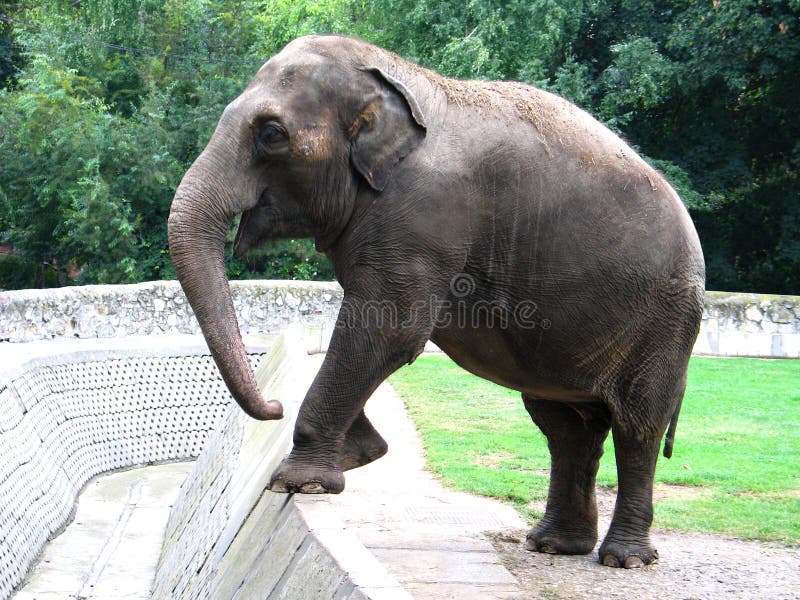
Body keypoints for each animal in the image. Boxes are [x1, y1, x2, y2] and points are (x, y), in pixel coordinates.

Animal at [168, 35, 705, 569]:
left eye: (272, 134)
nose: (275, 404)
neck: (393, 75)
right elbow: (373, 331)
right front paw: (360, 451)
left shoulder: (424, 216)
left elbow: (390, 330)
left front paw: (303, 480)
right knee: (566, 427)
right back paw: (553, 545)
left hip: (664, 319)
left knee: (637, 425)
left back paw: (624, 558)